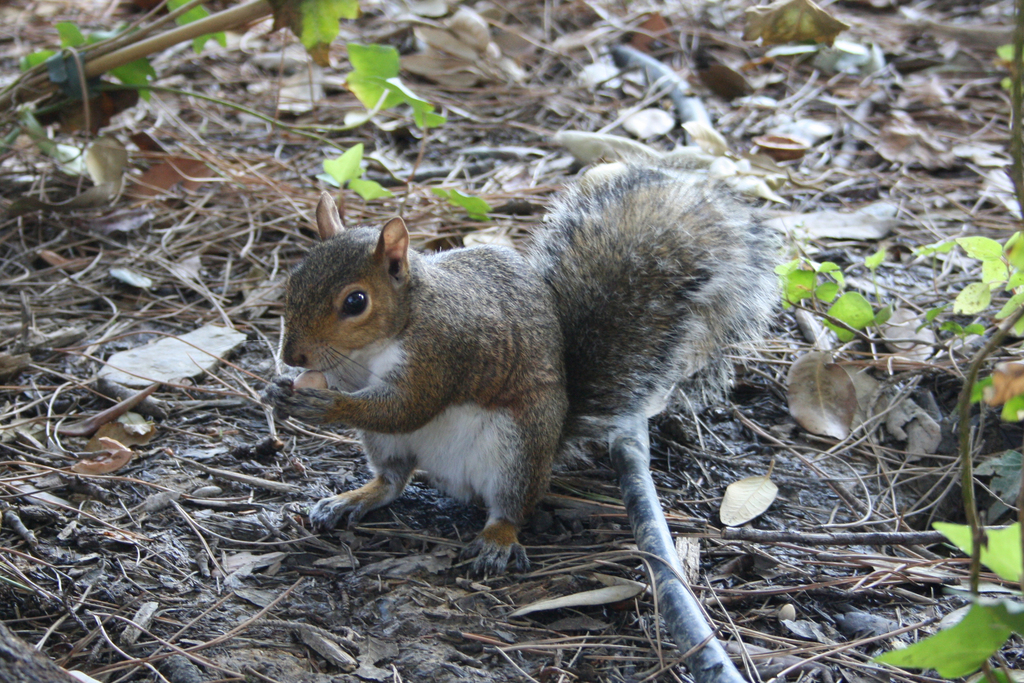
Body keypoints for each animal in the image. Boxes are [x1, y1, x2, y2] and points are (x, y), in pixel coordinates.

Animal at [266, 161, 779, 574]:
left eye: (356, 302)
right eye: (293, 280)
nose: (293, 356)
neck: (398, 325)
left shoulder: (443, 350)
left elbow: (408, 407)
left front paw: (326, 405)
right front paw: (280, 388)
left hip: (518, 447)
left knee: (512, 508)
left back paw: (496, 540)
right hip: (390, 447)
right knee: (393, 481)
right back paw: (353, 498)